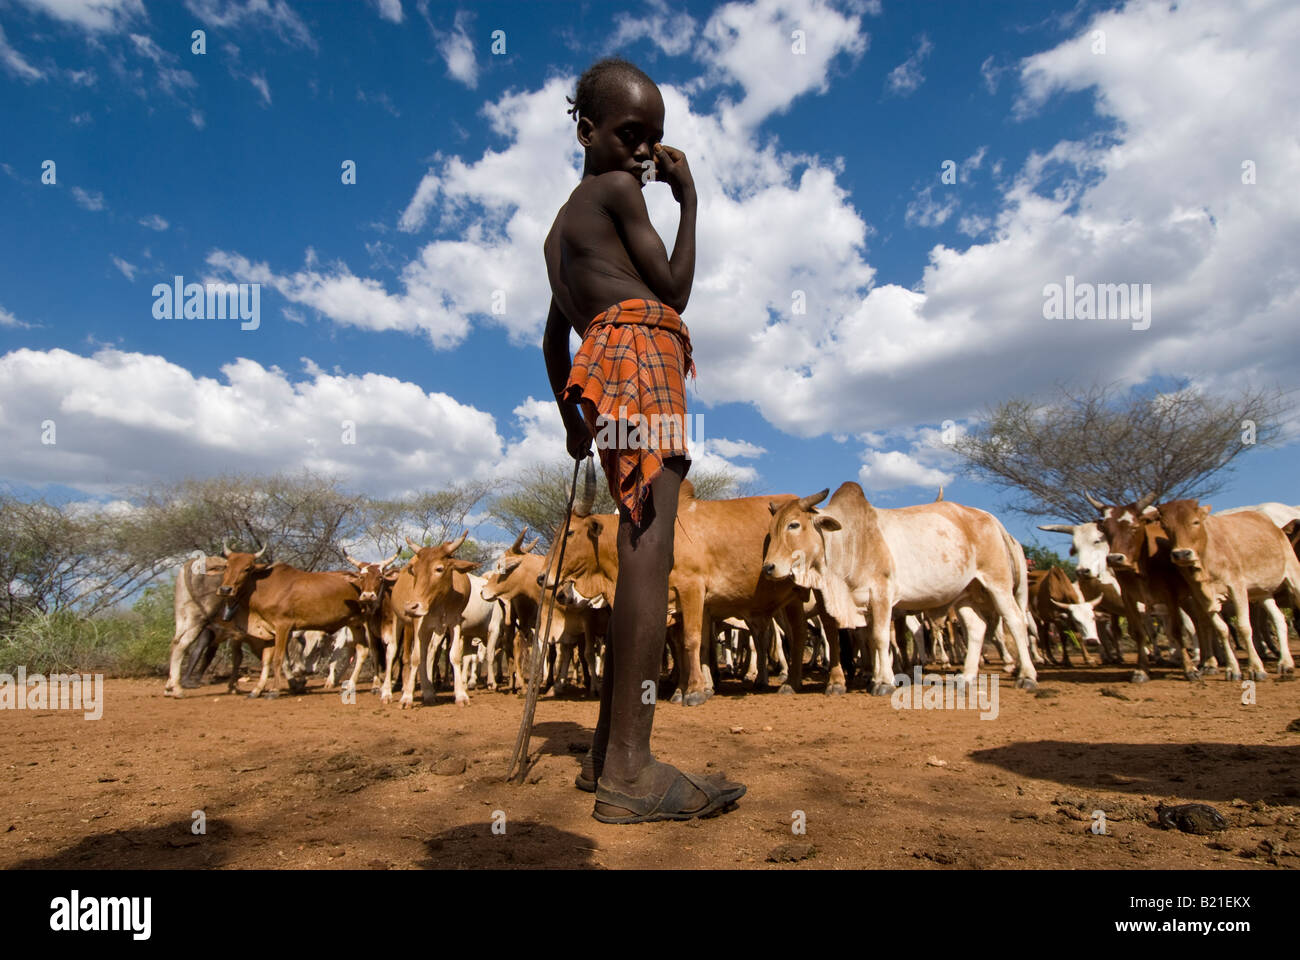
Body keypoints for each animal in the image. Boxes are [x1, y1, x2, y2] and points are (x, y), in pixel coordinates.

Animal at [762, 483, 1039, 694]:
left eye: (794, 525)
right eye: (771, 529)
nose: (768, 567)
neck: (849, 542)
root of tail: (991, 519)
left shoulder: (882, 594)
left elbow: (880, 638)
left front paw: (884, 682)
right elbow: (869, 641)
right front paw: (874, 677)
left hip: (997, 583)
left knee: (1015, 621)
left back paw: (1026, 676)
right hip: (966, 593)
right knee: (976, 628)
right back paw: (967, 677)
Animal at [1156, 498, 1299, 680]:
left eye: (1195, 522)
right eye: (1164, 526)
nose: (1181, 554)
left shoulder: (1237, 589)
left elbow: (1244, 627)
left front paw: (1256, 668)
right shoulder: (1202, 597)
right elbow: (1221, 629)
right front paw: (1232, 669)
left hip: (1293, 576)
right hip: (1262, 592)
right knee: (1278, 618)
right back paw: (1285, 663)